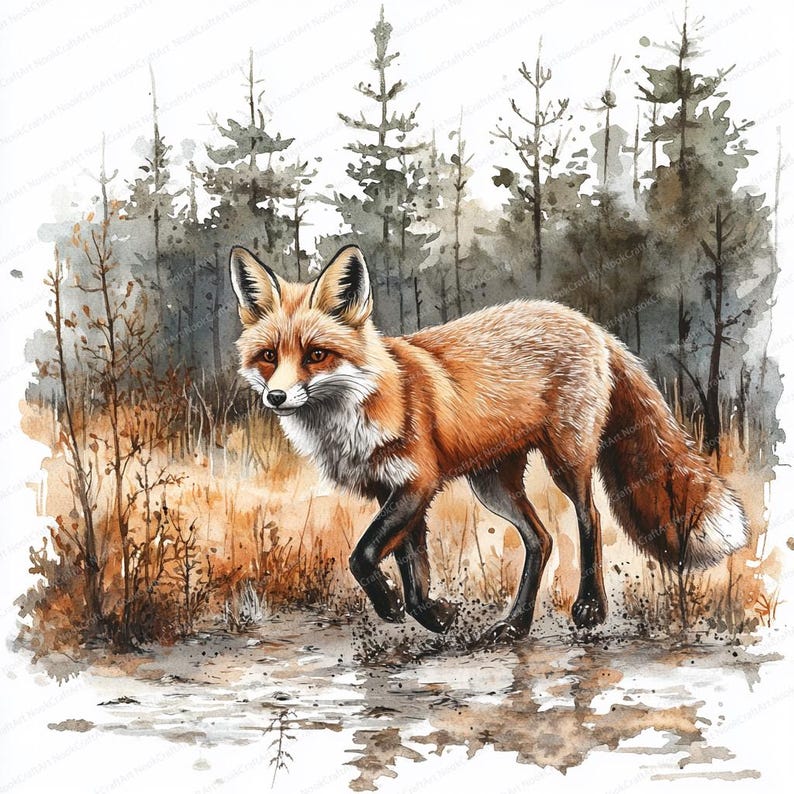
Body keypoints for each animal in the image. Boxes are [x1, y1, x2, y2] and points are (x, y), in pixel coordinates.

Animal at [230, 243, 748, 643]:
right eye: (269, 356)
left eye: (316, 355)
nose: (276, 397)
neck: (354, 414)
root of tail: (590, 324)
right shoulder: (392, 490)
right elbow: (411, 567)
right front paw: (432, 616)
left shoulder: (417, 482)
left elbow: (362, 556)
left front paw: (392, 606)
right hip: (493, 485)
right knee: (541, 539)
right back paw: (516, 625)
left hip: (566, 459)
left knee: (591, 519)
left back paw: (589, 608)